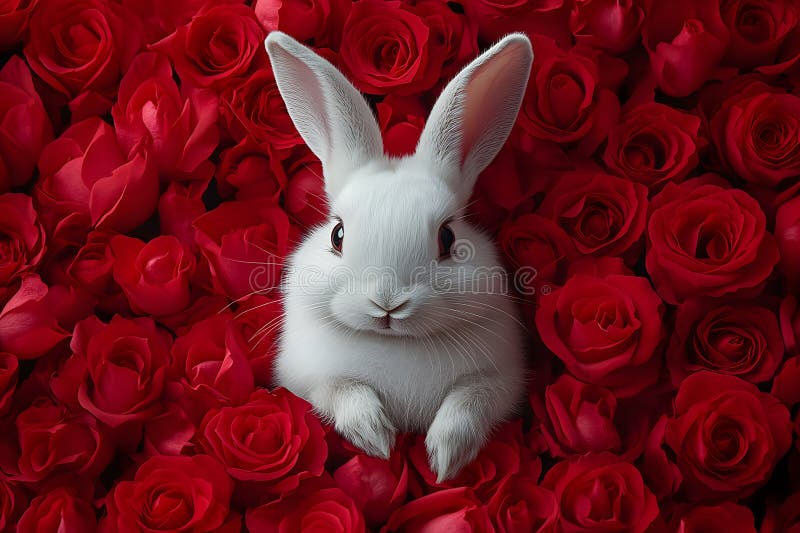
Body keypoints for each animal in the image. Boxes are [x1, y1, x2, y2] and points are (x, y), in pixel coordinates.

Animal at [265, 30, 533, 482]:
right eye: (337, 235)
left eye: (448, 237)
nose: (387, 302)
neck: (396, 342)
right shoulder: (308, 380)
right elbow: (343, 392)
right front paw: (377, 437)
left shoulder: (499, 380)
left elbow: (469, 404)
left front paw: (445, 458)